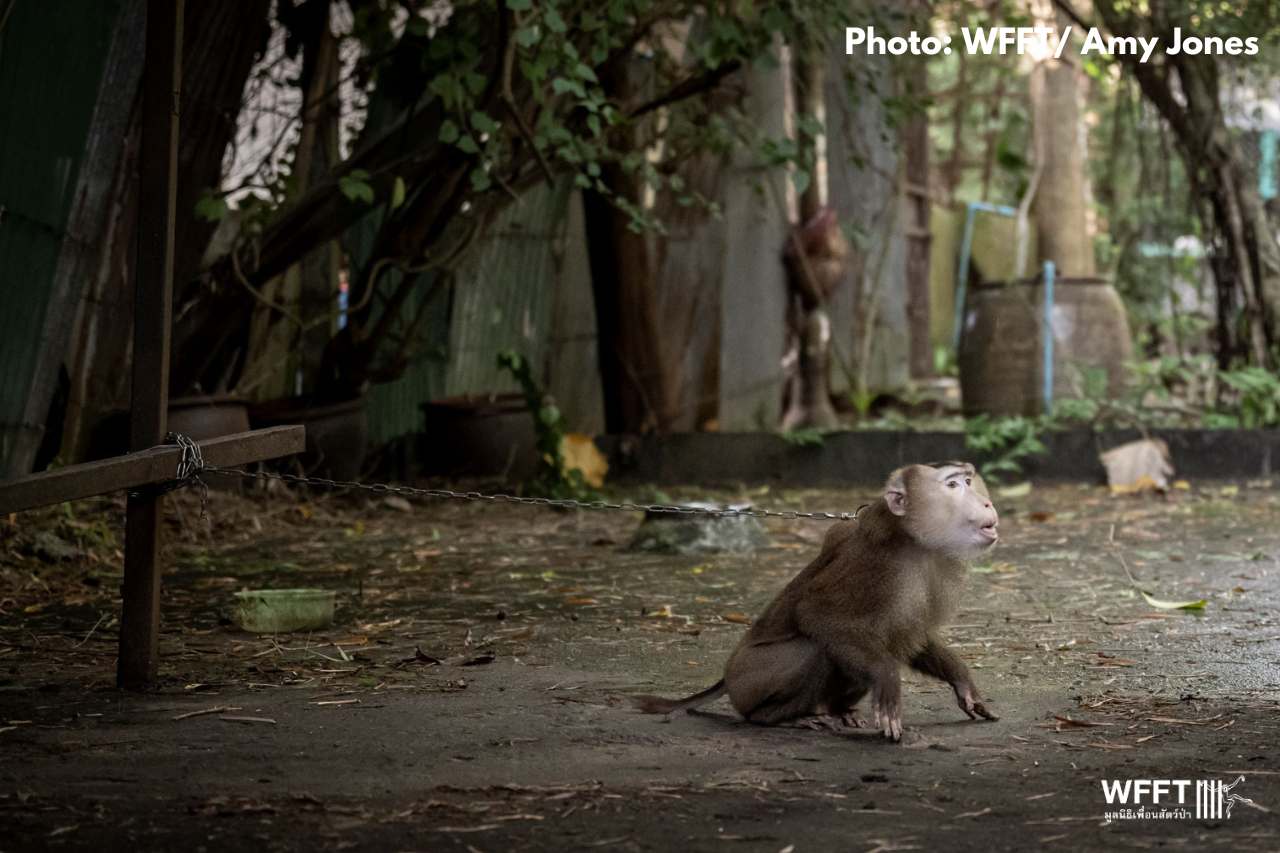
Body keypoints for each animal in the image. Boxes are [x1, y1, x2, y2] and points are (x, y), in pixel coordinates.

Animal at [632, 461, 1000, 742]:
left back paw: (839, 710)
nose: (986, 503)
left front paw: (961, 681)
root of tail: (728, 678)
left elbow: (909, 634)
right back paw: (775, 717)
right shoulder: (875, 568)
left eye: (969, 481)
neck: (910, 538)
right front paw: (887, 679)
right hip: (748, 681)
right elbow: (818, 616)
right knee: (813, 648)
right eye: (952, 485)